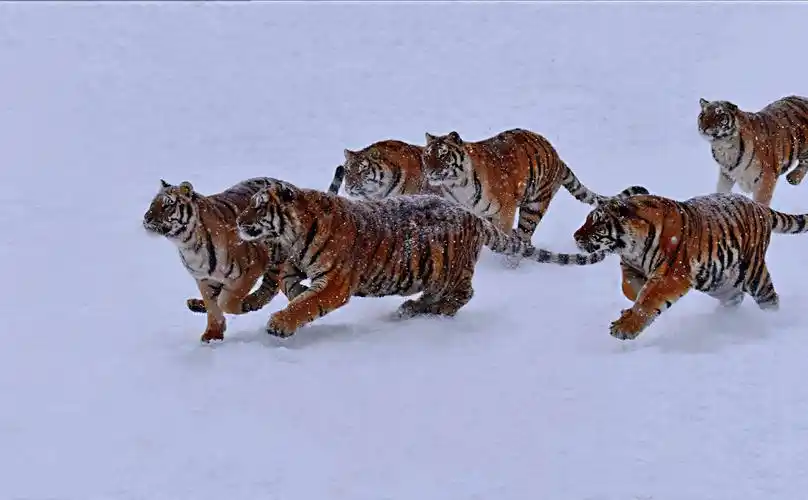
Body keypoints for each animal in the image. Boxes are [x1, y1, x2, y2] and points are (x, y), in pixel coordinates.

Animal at [142, 178, 309, 343]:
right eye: (153, 204)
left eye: (168, 204)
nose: (146, 218)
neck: (189, 245)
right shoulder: (204, 278)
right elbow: (212, 306)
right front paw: (213, 334)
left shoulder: (250, 270)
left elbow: (226, 302)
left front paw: (241, 307)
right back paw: (196, 304)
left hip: (277, 260)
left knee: (270, 287)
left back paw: (251, 303)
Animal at [235, 178, 609, 338]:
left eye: (259, 206)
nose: (238, 221)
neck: (293, 233)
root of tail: (471, 217)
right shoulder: (295, 262)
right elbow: (288, 282)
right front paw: (297, 292)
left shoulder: (336, 283)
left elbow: (308, 304)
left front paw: (280, 323)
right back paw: (411, 308)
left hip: (448, 269)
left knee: (463, 294)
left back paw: (426, 310)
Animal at [421, 128, 650, 266]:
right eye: (427, 155)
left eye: (442, 155)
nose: (430, 171)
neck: (457, 184)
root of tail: (558, 158)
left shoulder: (505, 211)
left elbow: (504, 238)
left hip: (533, 207)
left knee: (525, 236)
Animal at [572, 191, 808, 341]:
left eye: (597, 223)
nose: (575, 236)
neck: (631, 247)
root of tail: (759, 207)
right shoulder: (630, 266)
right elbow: (629, 287)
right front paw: (630, 304)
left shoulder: (671, 273)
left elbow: (648, 300)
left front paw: (625, 326)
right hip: (717, 280)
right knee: (735, 297)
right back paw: (723, 320)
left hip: (752, 272)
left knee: (770, 299)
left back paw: (770, 321)